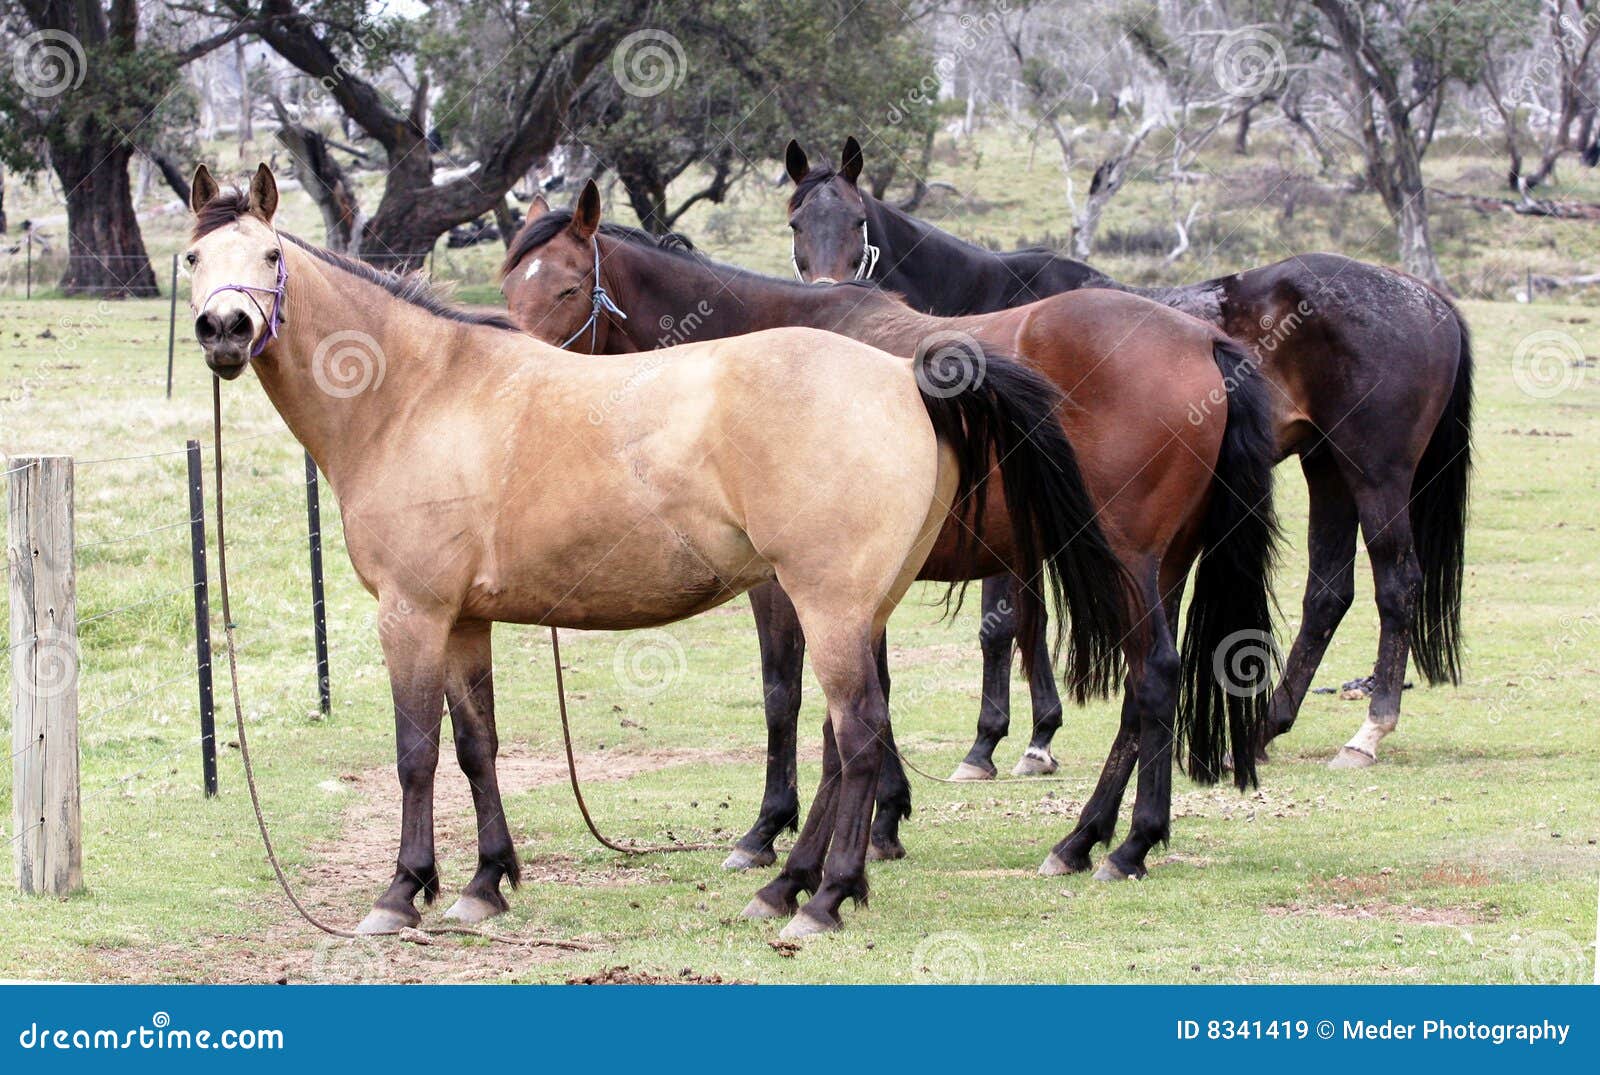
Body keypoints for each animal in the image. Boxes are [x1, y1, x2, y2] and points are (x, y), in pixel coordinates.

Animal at [184, 164, 1132, 940]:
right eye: (193, 257)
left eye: (270, 253)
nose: (224, 328)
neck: (419, 394)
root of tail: (904, 375)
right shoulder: (462, 621)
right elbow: (477, 746)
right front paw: (486, 882)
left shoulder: (411, 614)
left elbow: (415, 752)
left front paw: (400, 891)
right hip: (860, 609)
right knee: (843, 740)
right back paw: (788, 884)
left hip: (828, 603)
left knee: (860, 735)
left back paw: (826, 896)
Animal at [499, 180, 1281, 889]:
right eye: (508, 287)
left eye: (568, 288)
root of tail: (1203, 339)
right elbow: (869, 694)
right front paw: (884, 820)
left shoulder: (784, 584)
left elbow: (785, 695)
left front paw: (769, 830)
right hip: (1158, 570)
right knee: (1143, 694)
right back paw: (1087, 839)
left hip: (1128, 565)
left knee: (1153, 678)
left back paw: (1126, 844)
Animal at [785, 136, 1473, 771]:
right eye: (796, 222)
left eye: (857, 221)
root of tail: (1425, 296)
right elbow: (1029, 620)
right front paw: (1035, 736)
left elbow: (1002, 624)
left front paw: (993, 743)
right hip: (1326, 466)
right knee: (1327, 593)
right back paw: (1267, 724)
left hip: (1375, 474)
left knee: (1397, 585)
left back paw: (1367, 732)